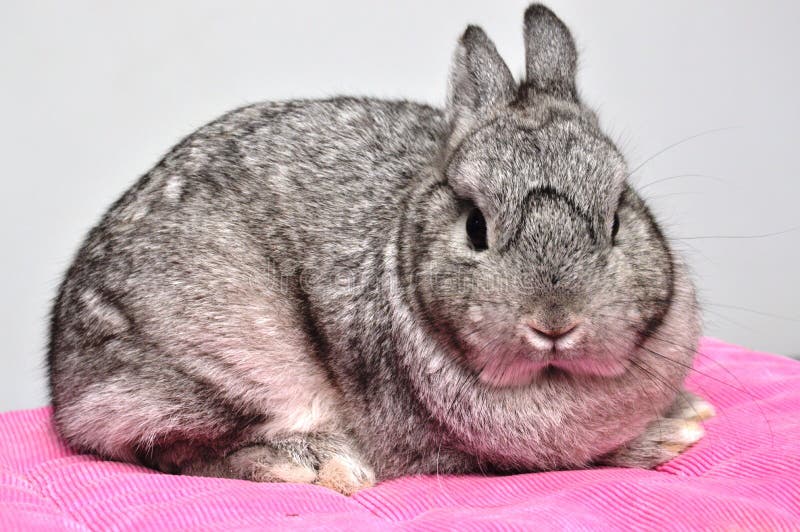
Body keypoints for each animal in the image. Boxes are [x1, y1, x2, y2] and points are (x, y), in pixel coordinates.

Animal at [48, 4, 713, 495]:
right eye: (476, 227)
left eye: (617, 218)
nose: (555, 321)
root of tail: (66, 389)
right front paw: (670, 434)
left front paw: (687, 414)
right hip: (223, 365)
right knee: (177, 450)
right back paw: (316, 464)